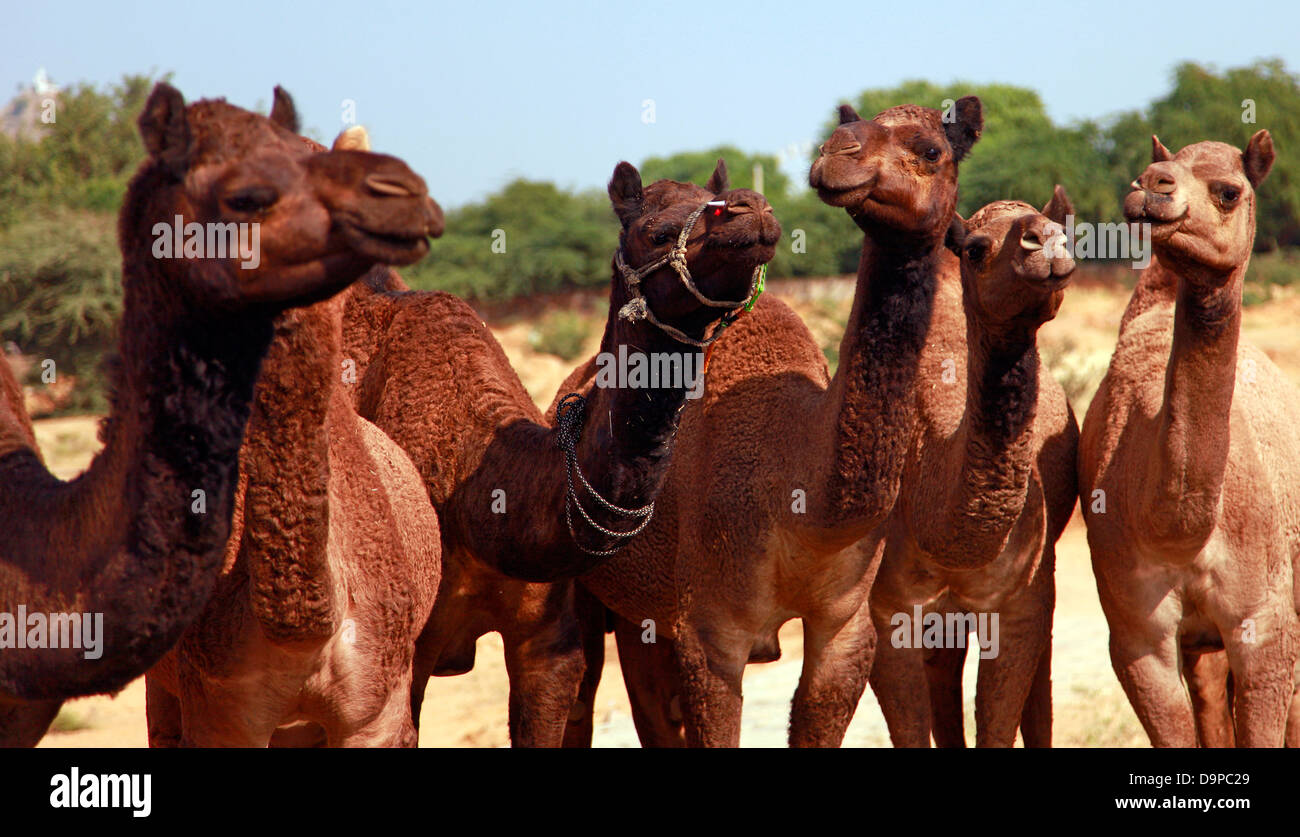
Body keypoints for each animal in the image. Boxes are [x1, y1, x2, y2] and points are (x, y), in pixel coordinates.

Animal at [565, 99, 985, 746]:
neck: (803, 501)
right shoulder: (710, 629)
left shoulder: (846, 625)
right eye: (656, 232)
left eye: (931, 148)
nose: (837, 152)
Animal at [867, 188, 1080, 747]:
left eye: (1061, 227)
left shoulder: (1022, 604)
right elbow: (910, 728)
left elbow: (998, 721)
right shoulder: (882, 612)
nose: (1046, 241)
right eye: (977, 248)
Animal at [1080, 131, 1300, 748]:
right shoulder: (1137, 636)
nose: (1149, 186)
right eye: (1157, 167)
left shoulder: (1266, 623)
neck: (1178, 528)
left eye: (1228, 191)